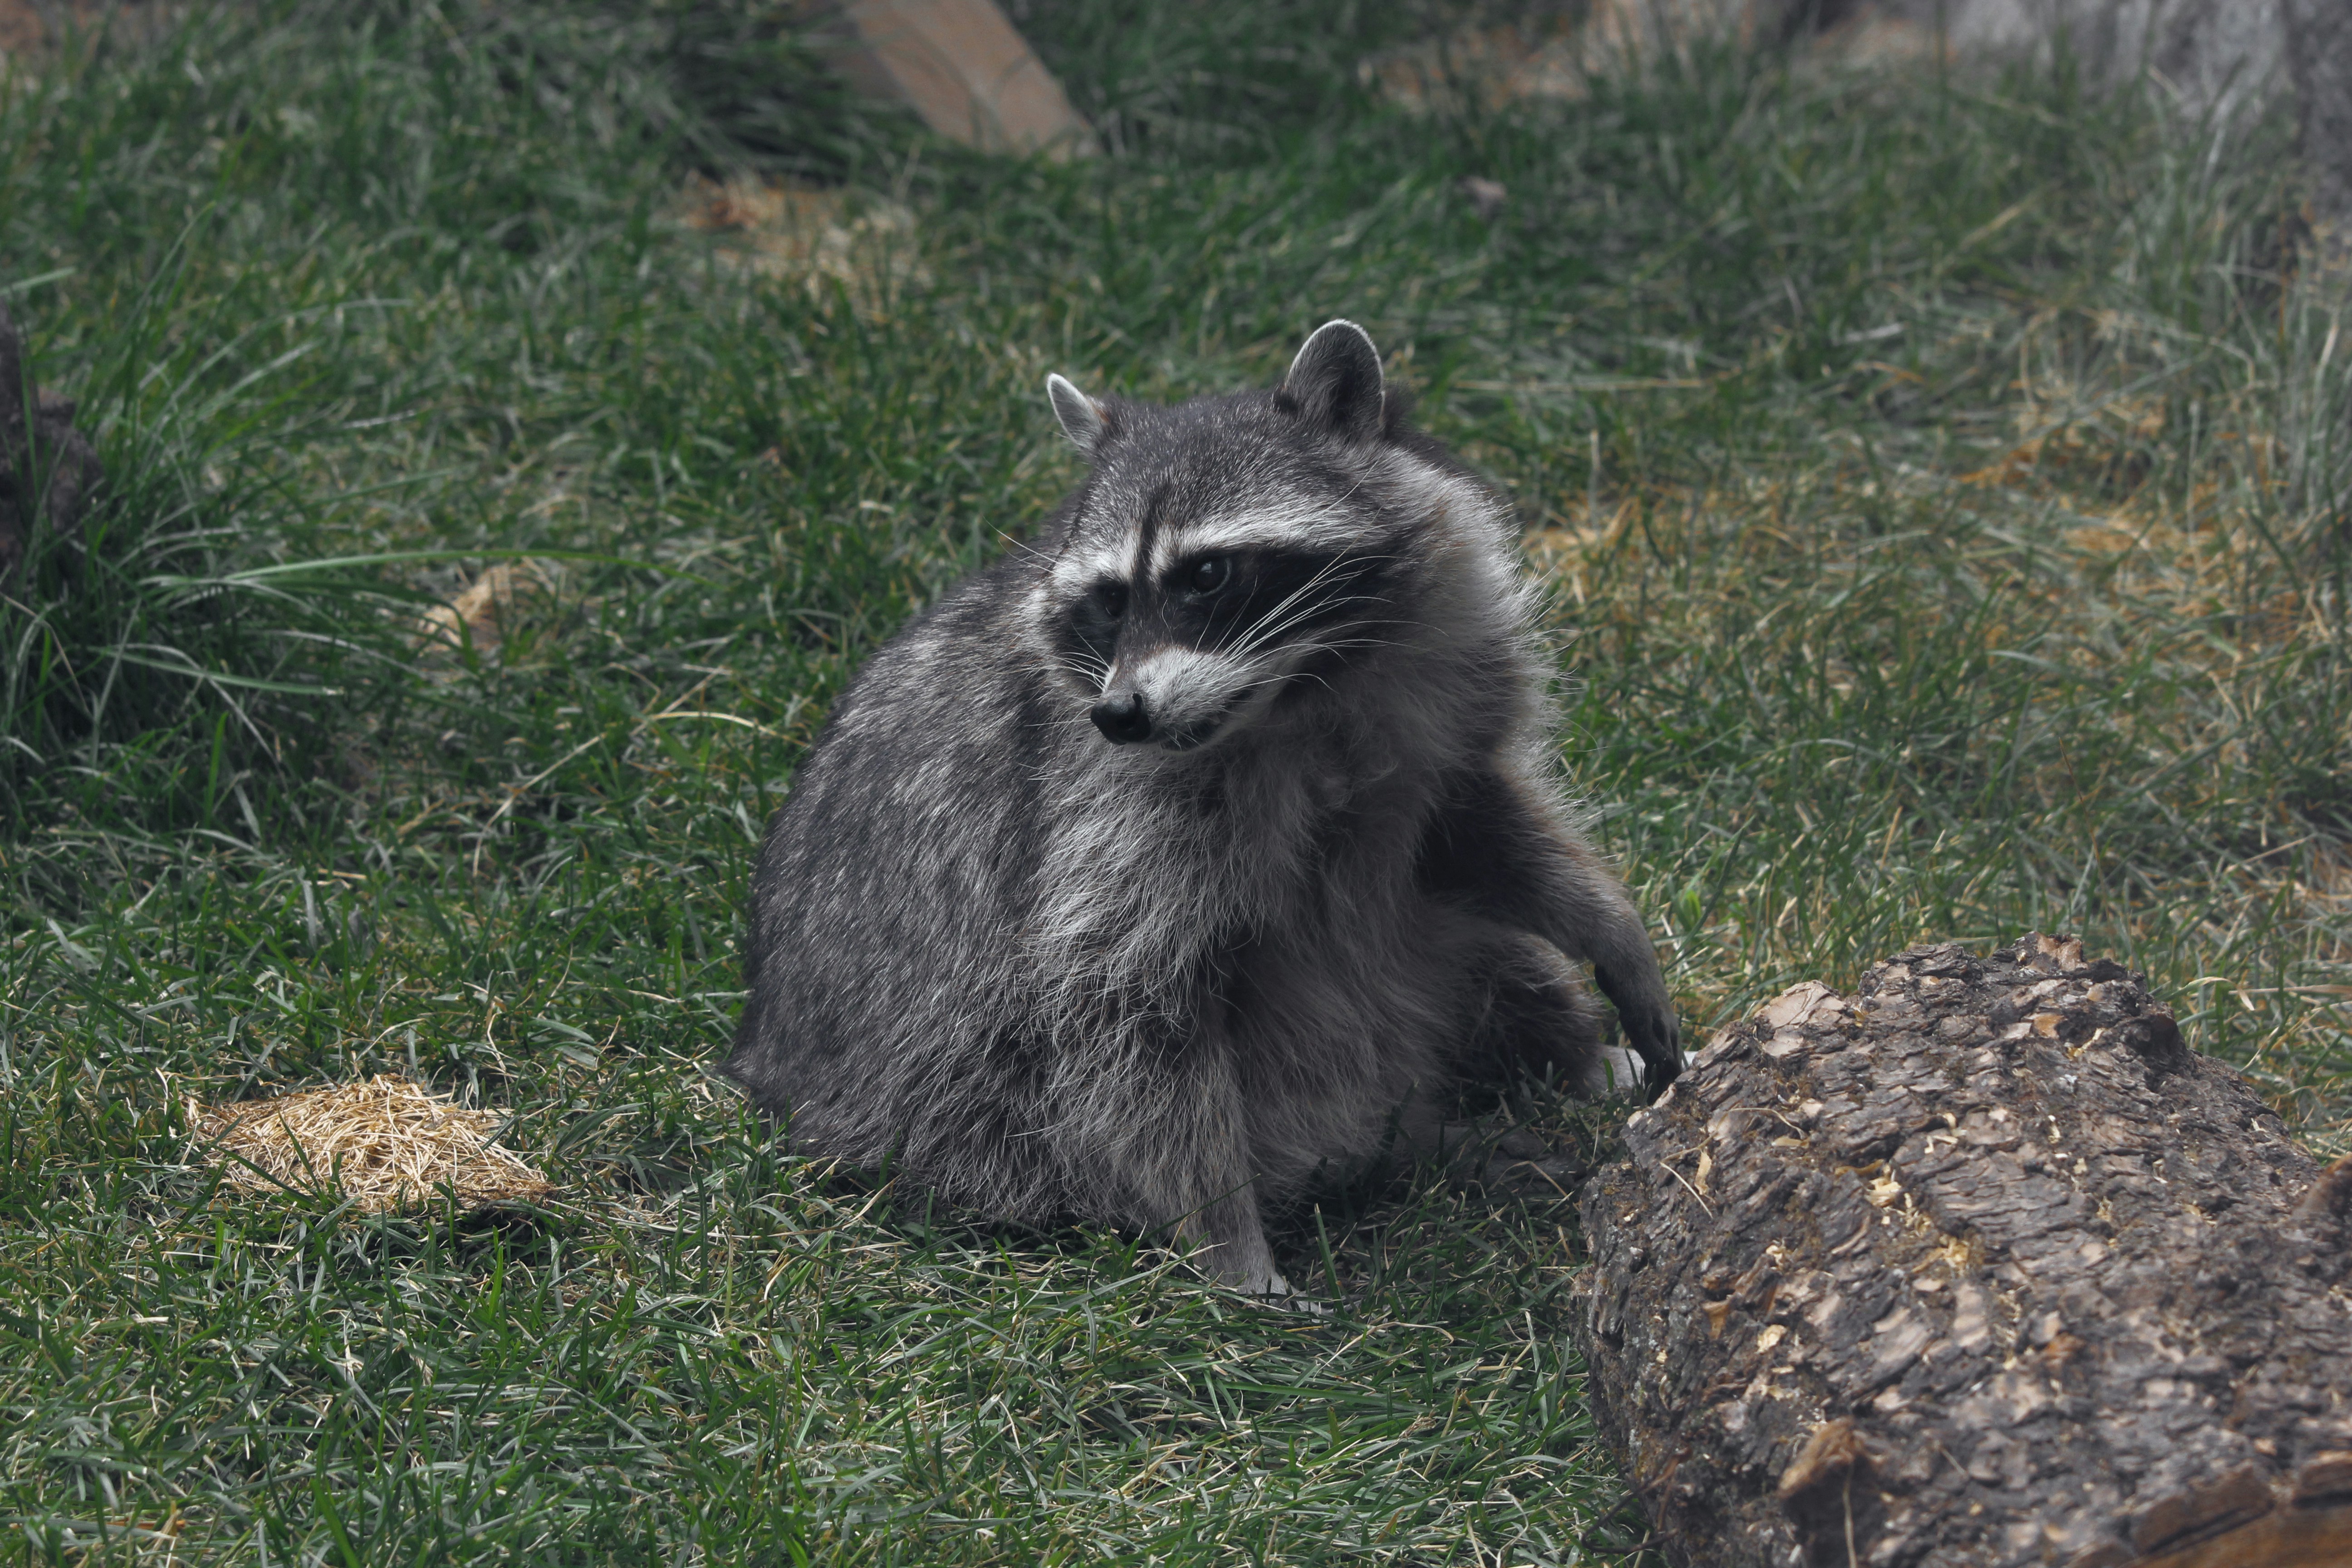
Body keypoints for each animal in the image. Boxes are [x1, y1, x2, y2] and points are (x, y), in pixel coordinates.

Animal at [725, 320, 1680, 1296]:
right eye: (1109, 599)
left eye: (1208, 573)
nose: (1120, 714)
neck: (1302, 689)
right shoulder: (1106, 810)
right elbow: (1121, 1007)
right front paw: (1229, 1243)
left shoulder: (1429, 727)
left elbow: (1477, 840)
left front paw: (1611, 934)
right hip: (979, 1121)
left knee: (1478, 943)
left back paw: (1570, 1059)